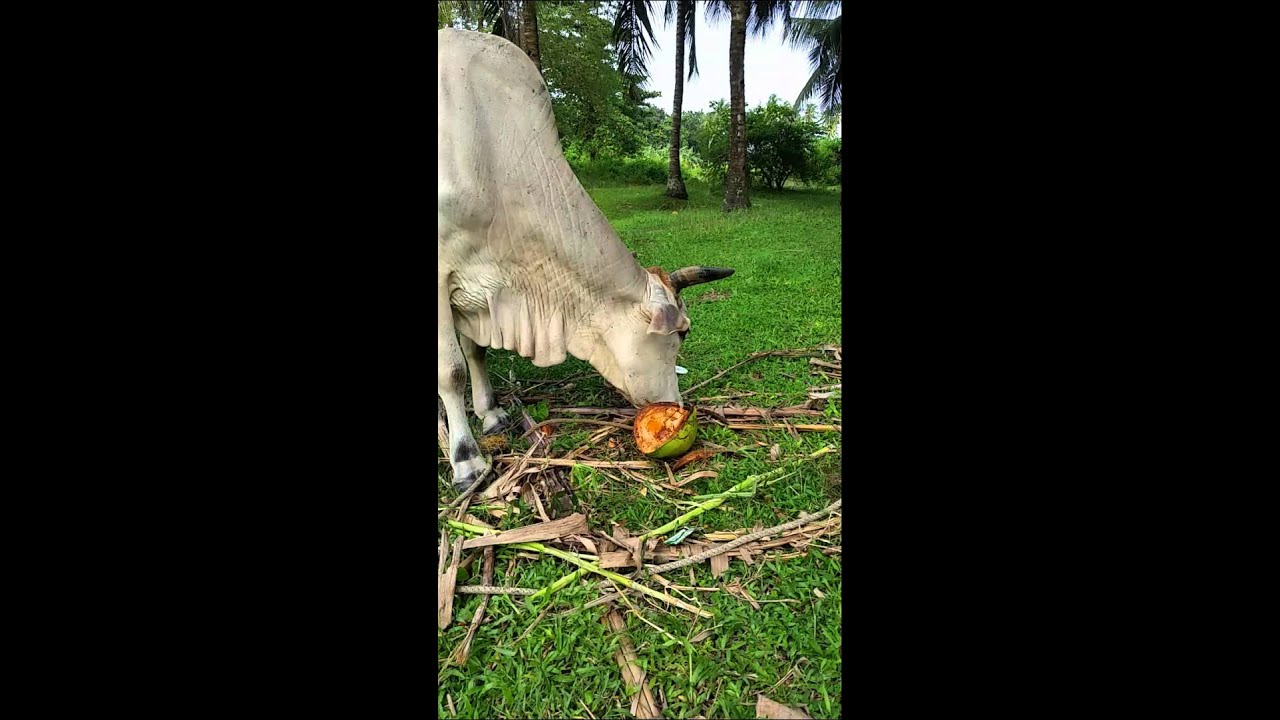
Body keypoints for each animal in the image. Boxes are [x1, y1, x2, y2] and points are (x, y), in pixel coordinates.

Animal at [438, 29, 733, 491]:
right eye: (683, 332)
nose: (678, 404)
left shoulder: (475, 288)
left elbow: (475, 352)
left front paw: (490, 415)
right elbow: (451, 370)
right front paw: (466, 460)